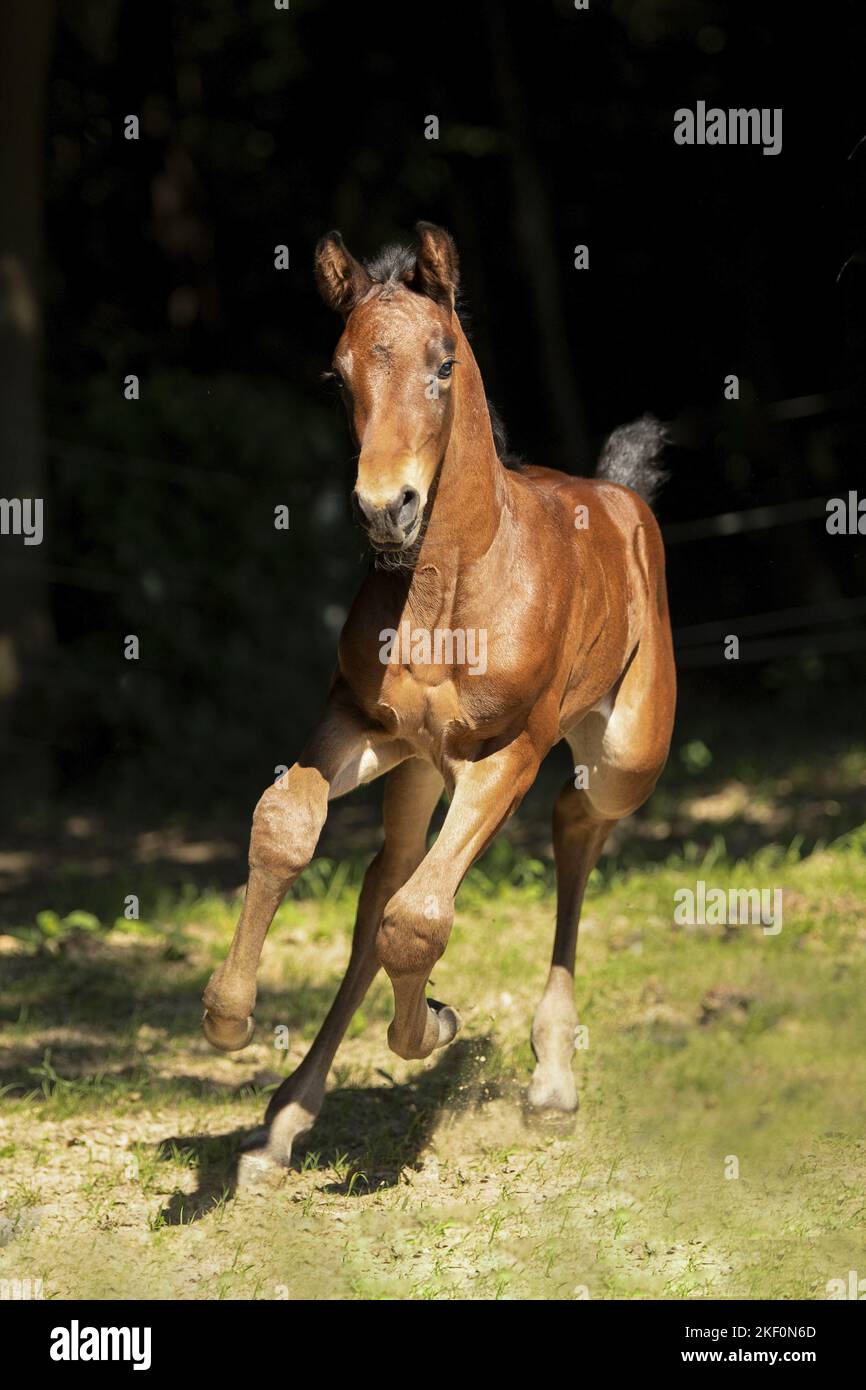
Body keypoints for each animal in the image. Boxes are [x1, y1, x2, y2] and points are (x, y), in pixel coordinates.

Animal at [202, 222, 676, 1165]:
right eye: (337, 376)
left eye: (444, 363)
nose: (387, 509)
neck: (444, 592)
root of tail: (620, 493)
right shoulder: (359, 720)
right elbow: (286, 828)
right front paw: (228, 1018)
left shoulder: (509, 751)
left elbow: (418, 920)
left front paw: (437, 1024)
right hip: (419, 769)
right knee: (384, 878)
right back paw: (287, 1116)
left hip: (626, 754)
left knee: (576, 824)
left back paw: (551, 1081)